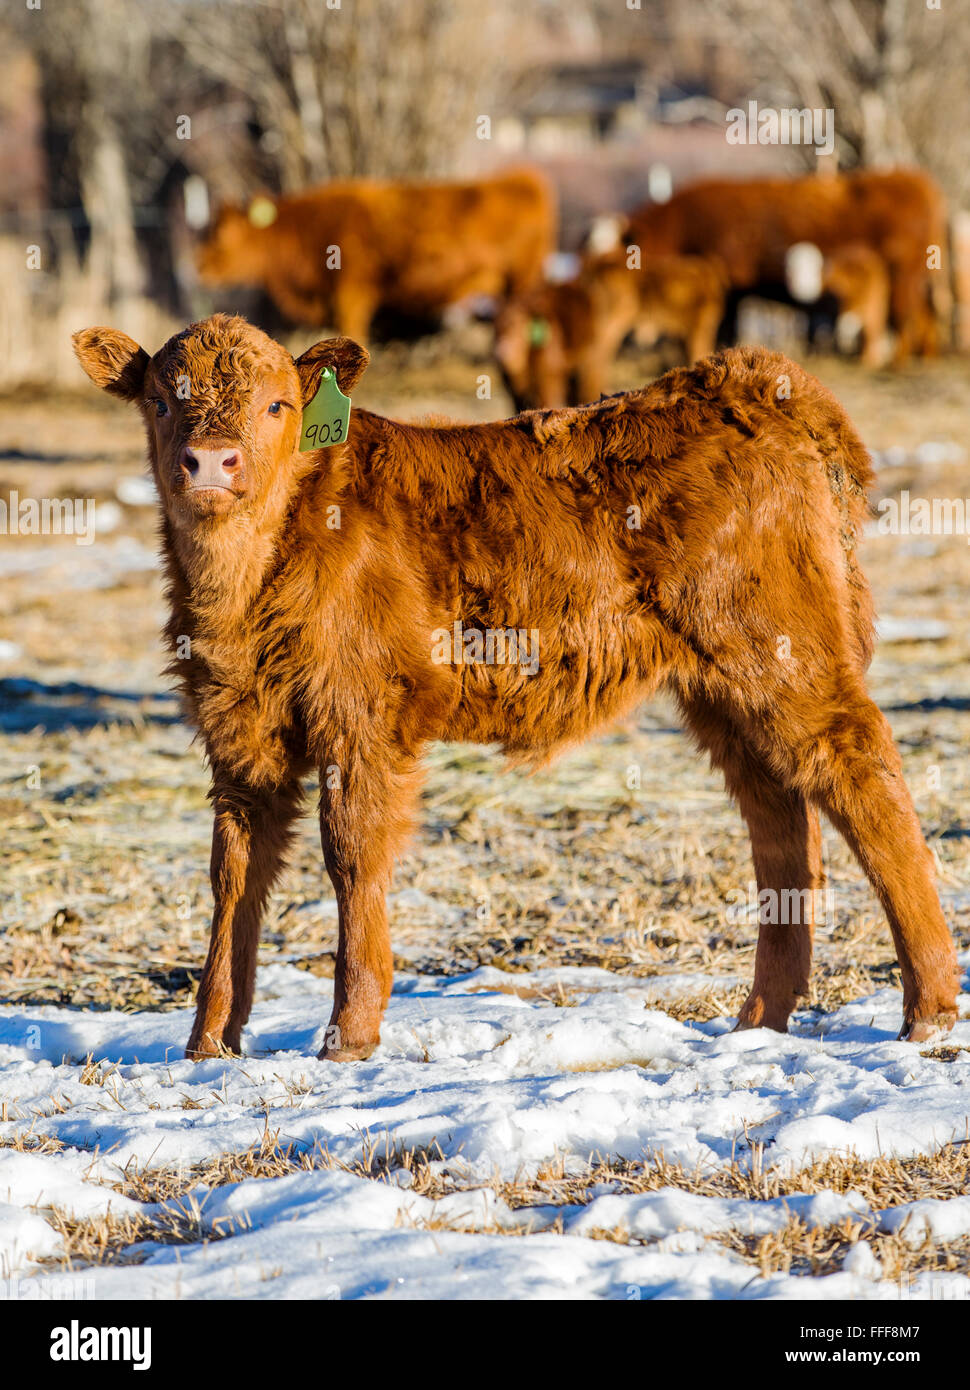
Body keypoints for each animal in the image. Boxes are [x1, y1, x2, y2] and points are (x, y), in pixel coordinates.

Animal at [73, 313, 960, 1062]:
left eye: (277, 405)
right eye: (160, 400)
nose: (210, 464)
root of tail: (747, 381)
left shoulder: (361, 724)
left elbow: (351, 856)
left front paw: (348, 1037)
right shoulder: (238, 737)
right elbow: (234, 875)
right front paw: (207, 1044)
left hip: (784, 655)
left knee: (861, 774)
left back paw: (929, 1009)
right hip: (723, 688)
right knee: (779, 814)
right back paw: (760, 1021)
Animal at [618, 170, 949, 365]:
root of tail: (913, 179)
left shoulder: (730, 288)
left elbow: (726, 327)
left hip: (904, 276)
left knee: (904, 315)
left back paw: (899, 361)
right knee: (921, 313)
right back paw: (925, 355)